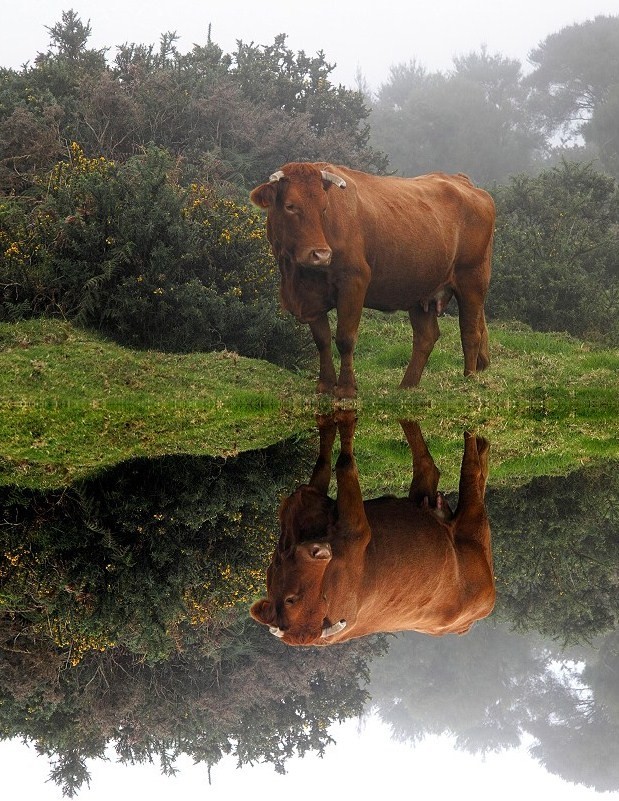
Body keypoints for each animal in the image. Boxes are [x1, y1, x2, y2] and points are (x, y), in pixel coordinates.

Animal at [250, 163, 495, 397]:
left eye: (324, 208)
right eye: (290, 206)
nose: (321, 254)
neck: (297, 276)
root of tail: (461, 181)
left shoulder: (354, 283)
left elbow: (345, 338)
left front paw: (346, 389)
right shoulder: (311, 297)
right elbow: (322, 340)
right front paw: (325, 385)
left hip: (472, 280)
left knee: (470, 331)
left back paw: (468, 379)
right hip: (419, 289)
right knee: (426, 337)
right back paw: (407, 386)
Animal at [250, 412, 495, 646]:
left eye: (322, 597)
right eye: (290, 600)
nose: (321, 552)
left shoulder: (337, 513)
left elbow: (333, 460)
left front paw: (335, 419)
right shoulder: (339, 517)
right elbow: (336, 462)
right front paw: (338, 418)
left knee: (444, 468)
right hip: (467, 522)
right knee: (452, 471)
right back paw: (476, 438)